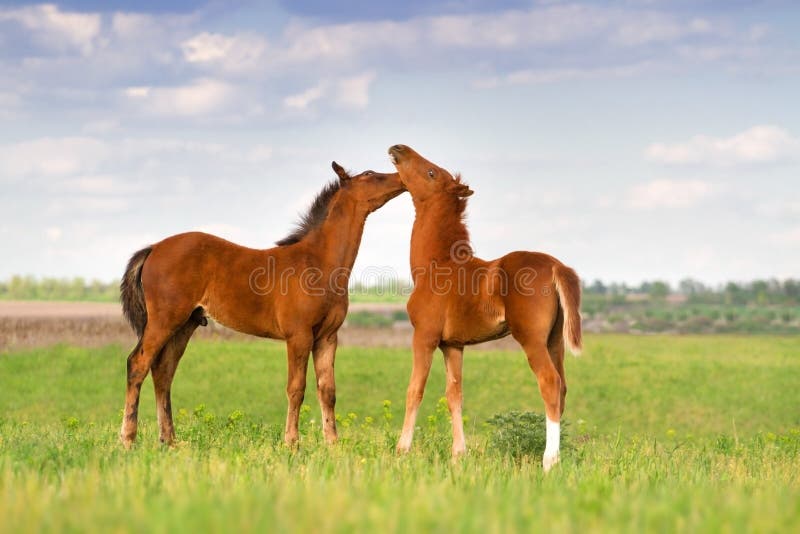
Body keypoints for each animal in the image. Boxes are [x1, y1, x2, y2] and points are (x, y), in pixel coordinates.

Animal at [119, 162, 405, 448]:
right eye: (369, 175)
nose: (401, 177)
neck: (318, 263)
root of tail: (154, 248)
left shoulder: (327, 337)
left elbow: (328, 390)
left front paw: (332, 444)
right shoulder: (298, 335)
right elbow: (296, 388)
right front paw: (292, 443)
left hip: (185, 324)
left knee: (163, 371)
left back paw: (169, 441)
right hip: (165, 320)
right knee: (138, 364)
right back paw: (128, 439)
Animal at [387, 144, 582, 472]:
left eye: (431, 172)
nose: (398, 149)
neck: (437, 265)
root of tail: (557, 266)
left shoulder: (424, 336)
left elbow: (415, 389)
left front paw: (402, 451)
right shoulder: (453, 345)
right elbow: (454, 394)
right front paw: (458, 454)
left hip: (531, 338)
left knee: (550, 382)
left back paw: (549, 461)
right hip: (554, 339)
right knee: (564, 386)